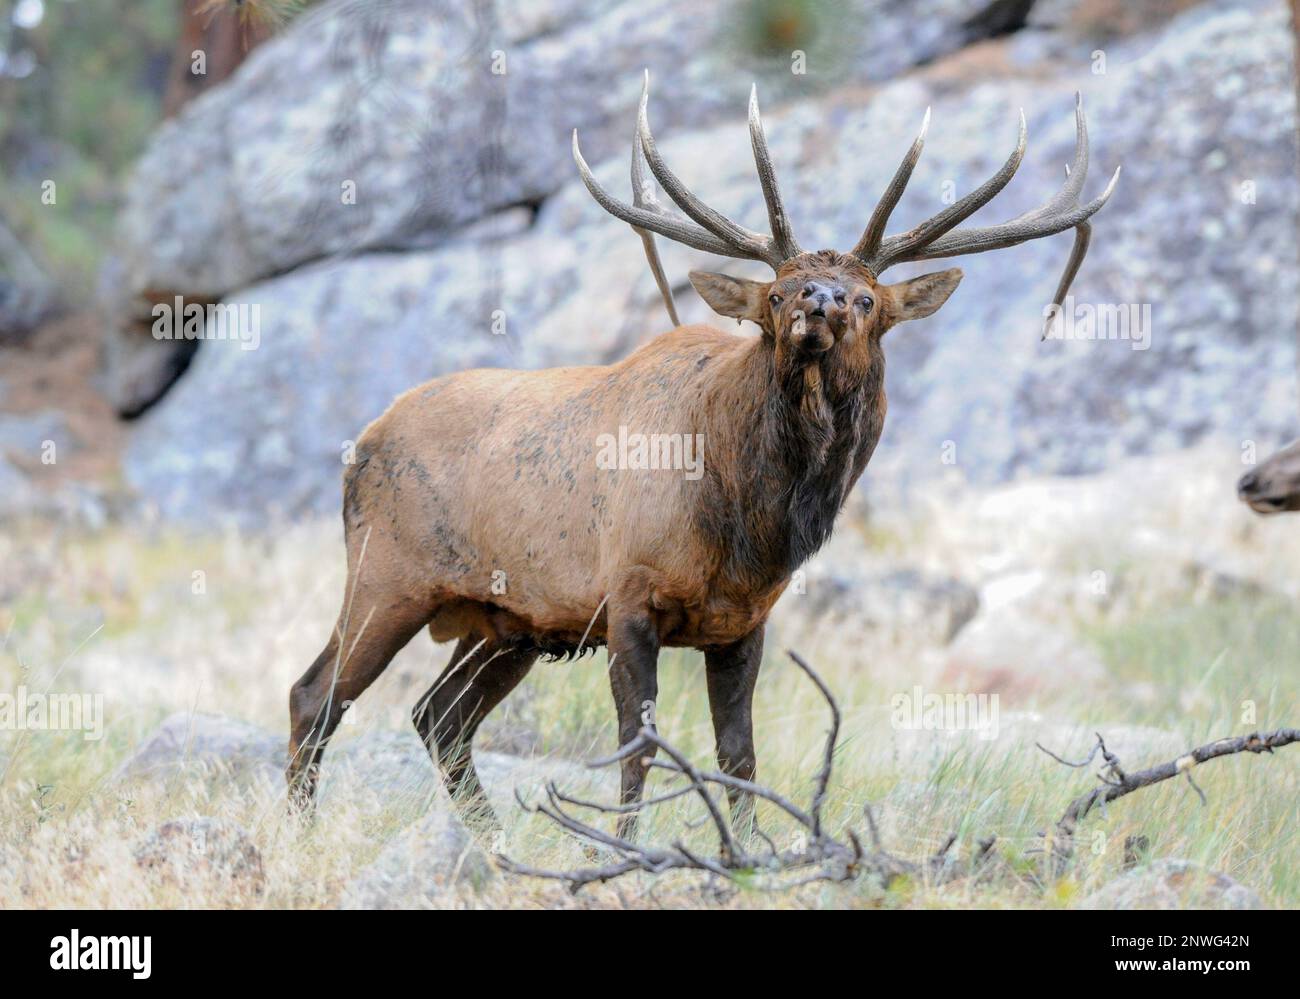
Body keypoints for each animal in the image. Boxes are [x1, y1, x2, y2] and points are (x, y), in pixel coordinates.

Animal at [287, 75, 1119, 839]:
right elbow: (639, 748)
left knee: (439, 716)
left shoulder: (743, 622)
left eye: (866, 301)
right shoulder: (626, 595)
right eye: (777, 292)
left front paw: (743, 853)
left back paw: (486, 840)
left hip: (506, 620)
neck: (748, 523)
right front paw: (618, 852)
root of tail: (360, 445)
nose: (817, 301)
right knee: (317, 695)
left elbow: (738, 756)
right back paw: (306, 828)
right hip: (389, 574)